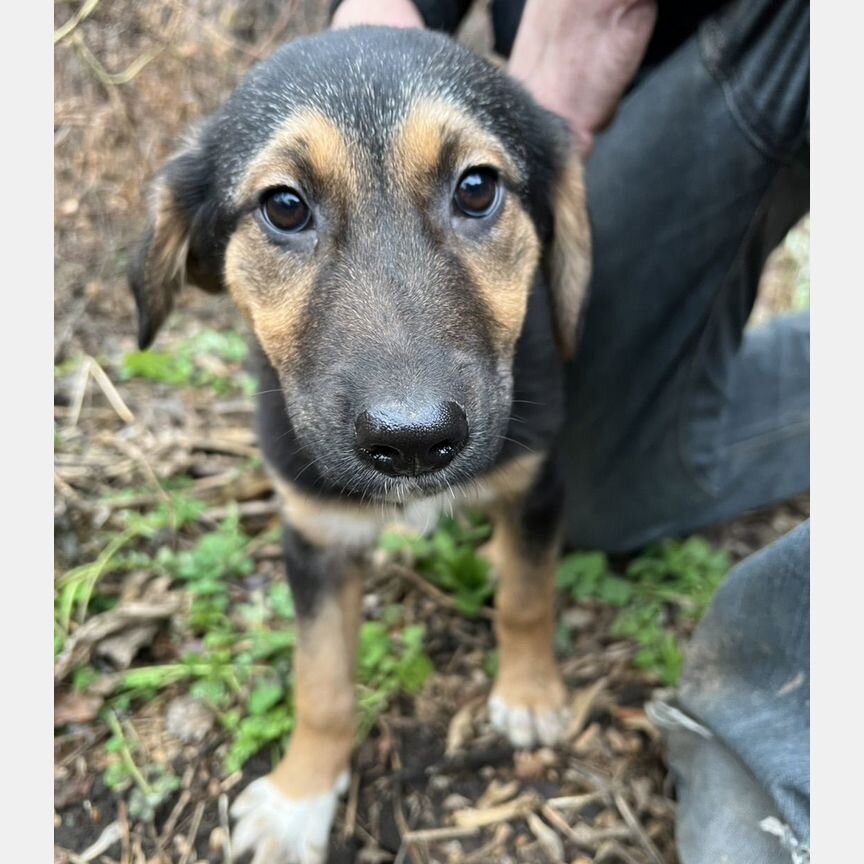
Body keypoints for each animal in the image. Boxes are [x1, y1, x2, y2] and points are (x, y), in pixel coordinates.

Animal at [128, 23, 592, 860]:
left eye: (477, 189)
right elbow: (323, 685)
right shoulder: (315, 535)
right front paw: (300, 798)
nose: (413, 443)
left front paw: (531, 692)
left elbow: (527, 598)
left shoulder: (537, 480)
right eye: (284, 207)